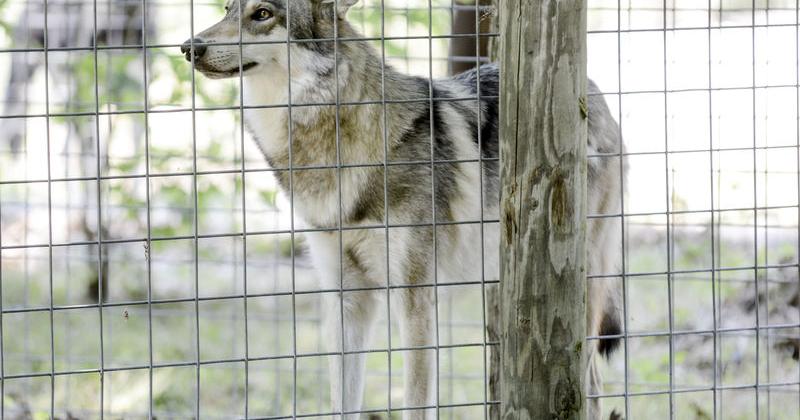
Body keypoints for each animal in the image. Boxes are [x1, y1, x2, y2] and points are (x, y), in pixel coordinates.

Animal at [182, 0, 624, 418]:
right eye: (227, 10)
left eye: (262, 14)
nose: (189, 47)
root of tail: (591, 89)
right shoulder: (347, 301)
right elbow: (344, 403)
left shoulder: (415, 300)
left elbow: (416, 403)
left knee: (590, 386)